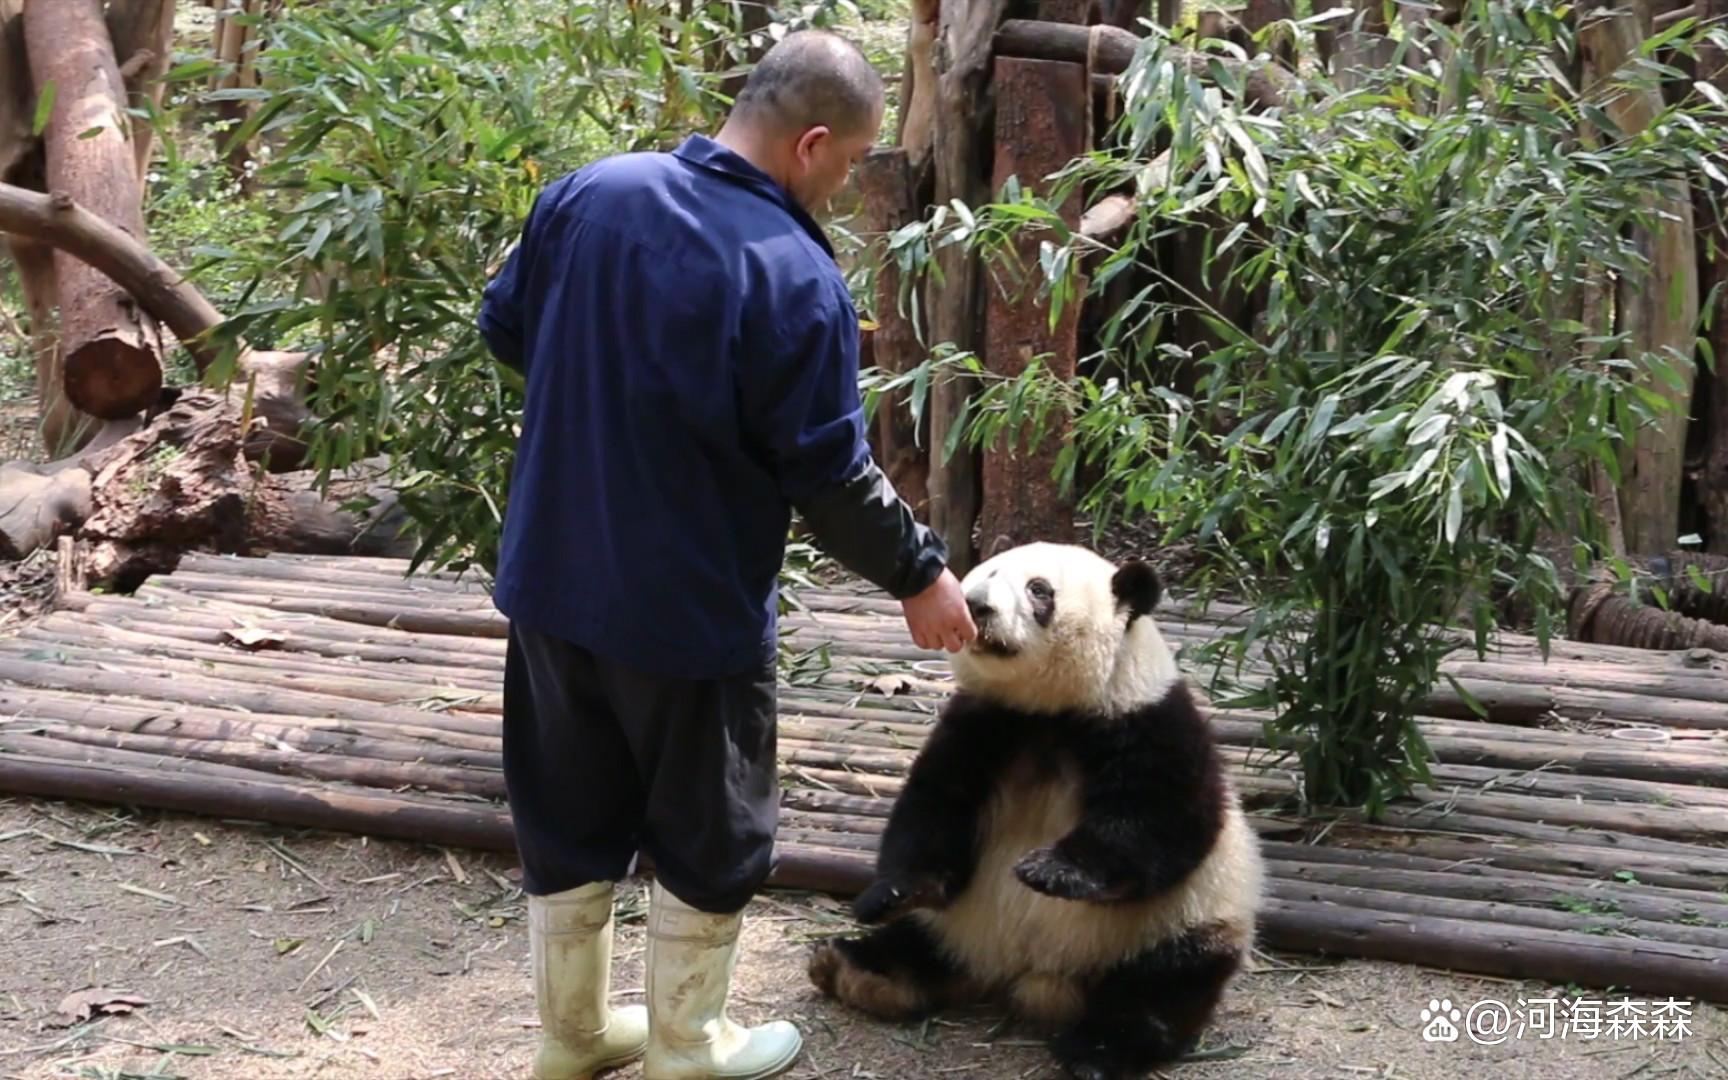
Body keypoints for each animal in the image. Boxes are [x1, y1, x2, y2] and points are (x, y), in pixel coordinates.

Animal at [807, 541, 1265, 1080]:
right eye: (978, 578)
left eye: (1039, 590)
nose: (977, 607)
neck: (1048, 711)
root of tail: (1029, 978)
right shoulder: (984, 723)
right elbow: (933, 805)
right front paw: (894, 890)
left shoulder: (1146, 717)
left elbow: (1164, 819)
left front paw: (1052, 869)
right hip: (960, 923)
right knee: (917, 945)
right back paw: (851, 967)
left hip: (1180, 919)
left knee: (1161, 986)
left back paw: (1098, 1049)